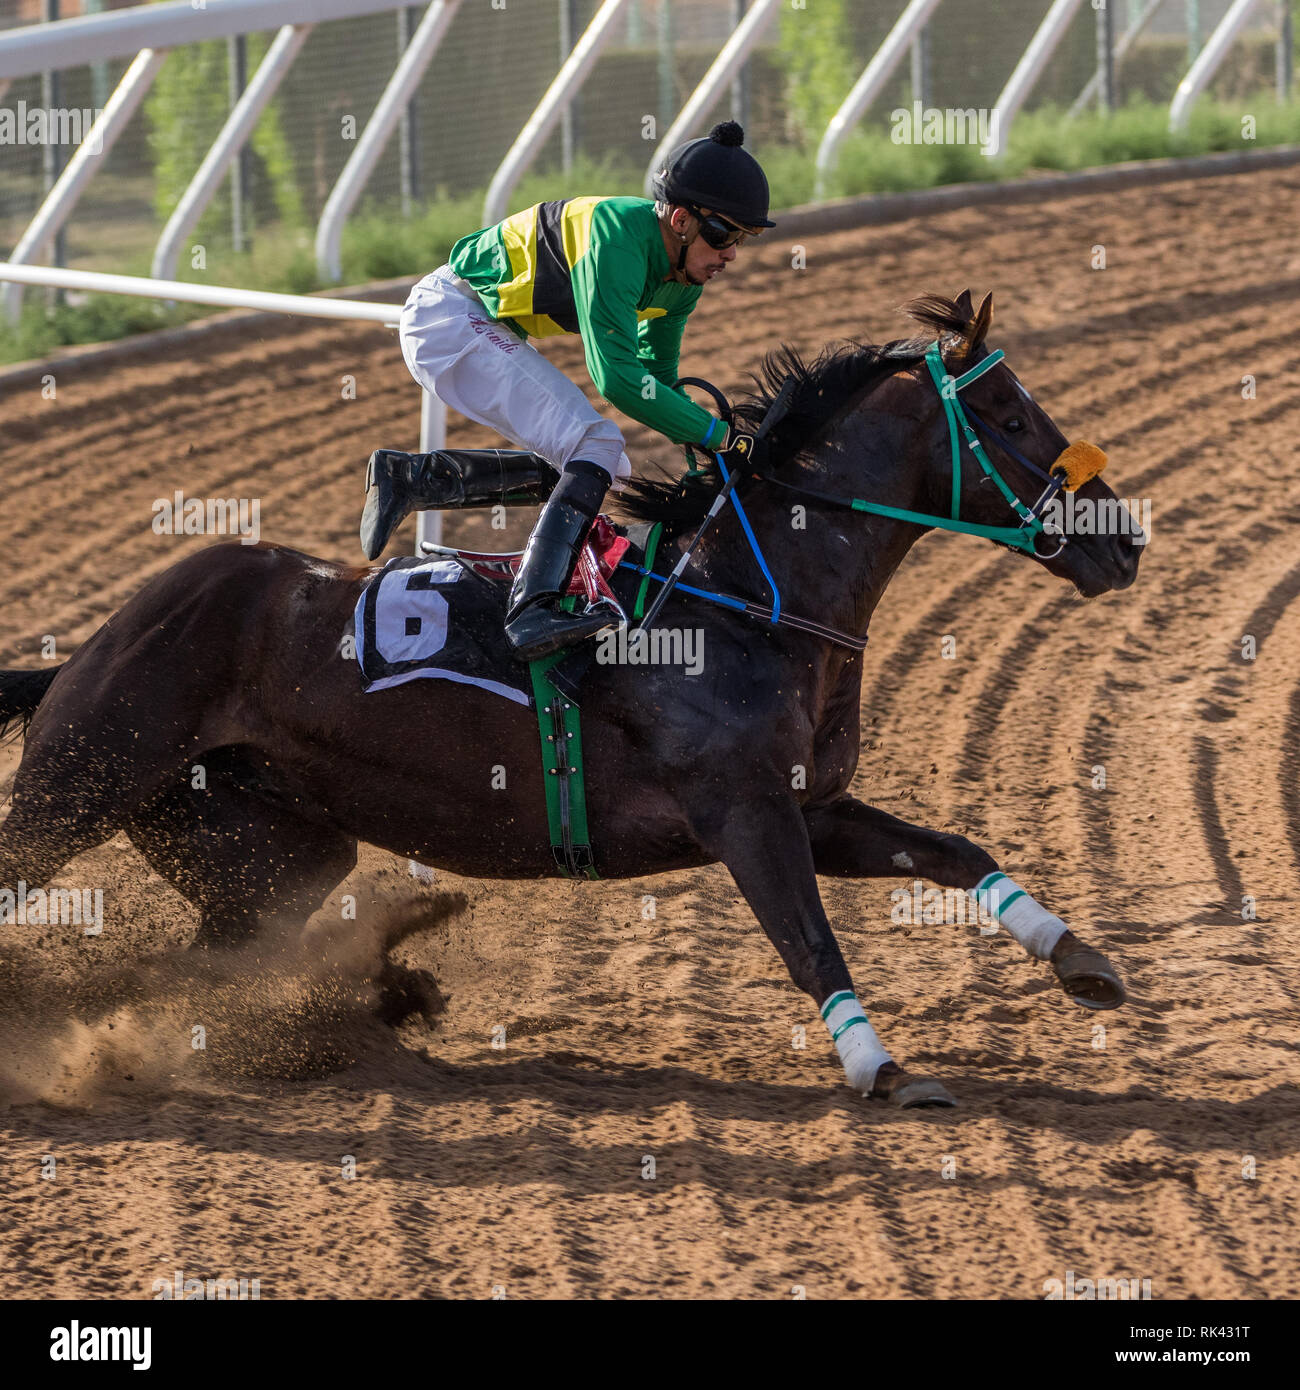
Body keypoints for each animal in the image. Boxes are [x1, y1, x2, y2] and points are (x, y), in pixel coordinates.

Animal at [0, 291, 1142, 1107]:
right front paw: (884, 1069)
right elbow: (809, 939)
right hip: (79, 781)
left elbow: (955, 852)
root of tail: (91, 638)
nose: (1122, 538)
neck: (746, 600)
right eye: (1008, 415)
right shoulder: (745, 812)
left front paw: (1082, 960)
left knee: (210, 962)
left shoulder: (812, 806)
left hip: (272, 850)